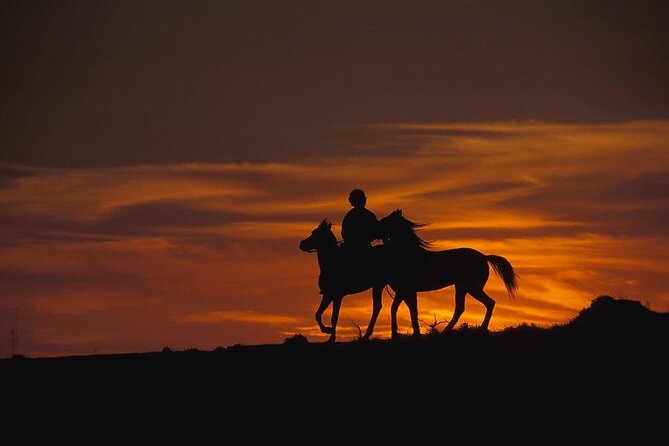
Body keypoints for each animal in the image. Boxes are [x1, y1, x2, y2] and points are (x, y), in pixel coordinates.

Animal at [379, 209, 518, 337]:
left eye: (386, 221)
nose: (376, 227)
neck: (408, 255)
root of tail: (484, 257)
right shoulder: (404, 291)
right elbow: (403, 309)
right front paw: (403, 333)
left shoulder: (406, 290)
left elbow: (403, 309)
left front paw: (399, 334)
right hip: (462, 287)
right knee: (462, 308)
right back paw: (448, 331)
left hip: (472, 288)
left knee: (488, 303)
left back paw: (479, 329)